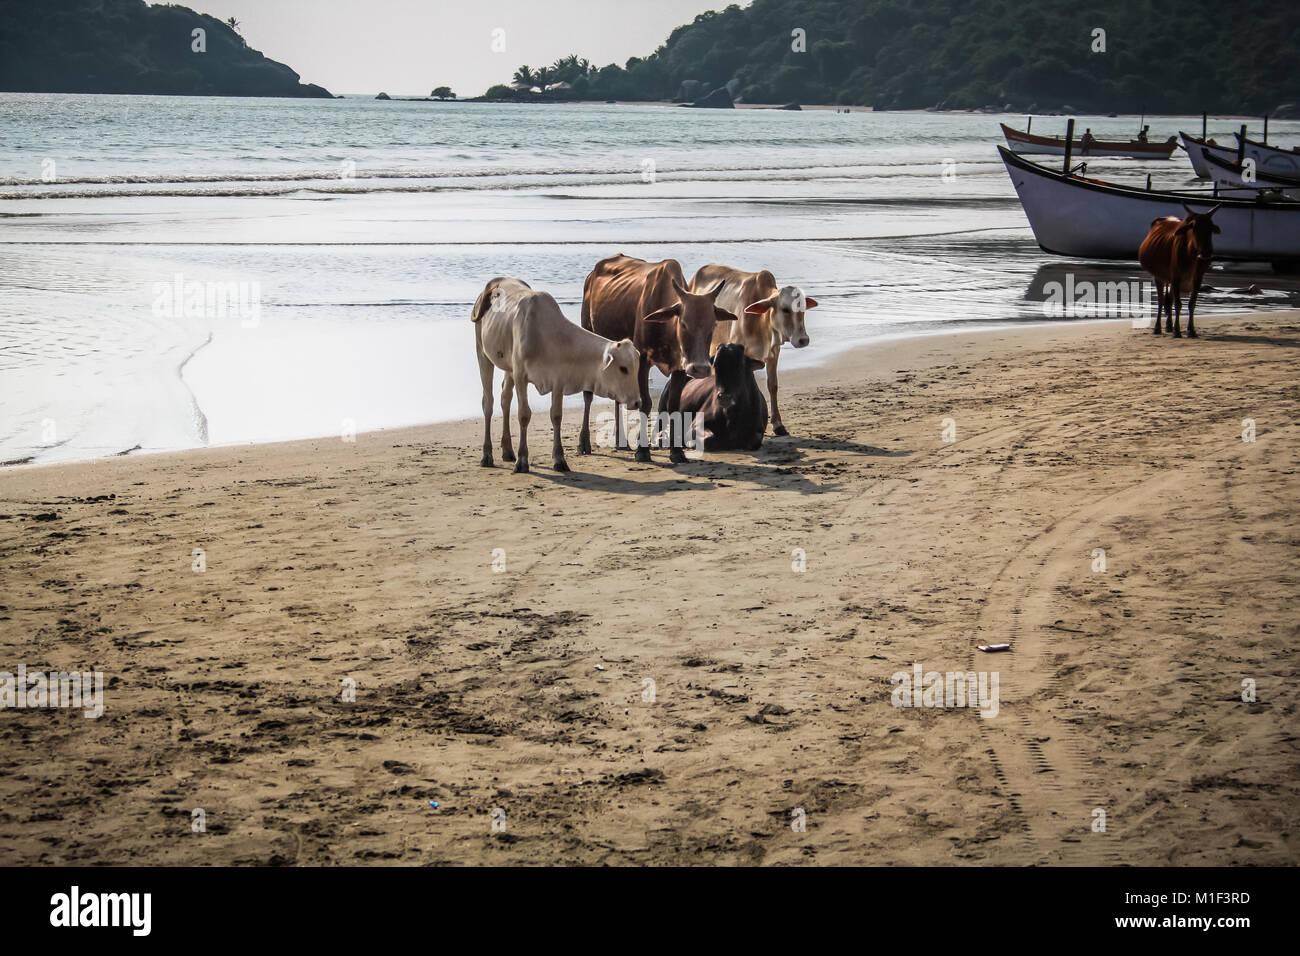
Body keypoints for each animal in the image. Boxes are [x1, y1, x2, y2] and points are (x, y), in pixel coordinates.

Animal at [471, 277, 641, 474]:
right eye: (623, 368)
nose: (637, 402)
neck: (548, 338)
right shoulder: (521, 375)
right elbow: (524, 415)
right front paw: (522, 460)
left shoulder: (558, 380)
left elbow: (556, 416)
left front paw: (559, 459)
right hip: (482, 353)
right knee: (488, 403)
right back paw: (487, 455)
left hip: (509, 366)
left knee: (505, 398)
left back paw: (507, 450)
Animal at [578, 254, 737, 463]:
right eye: (683, 323)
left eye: (713, 324)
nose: (700, 368)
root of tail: (591, 275)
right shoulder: (643, 360)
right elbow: (645, 403)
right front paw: (642, 451)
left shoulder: (680, 367)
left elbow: (674, 406)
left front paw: (676, 452)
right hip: (588, 333)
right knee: (588, 395)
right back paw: (584, 443)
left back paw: (621, 440)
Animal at [689, 264, 817, 436]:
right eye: (785, 309)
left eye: (803, 309)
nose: (803, 339)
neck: (762, 324)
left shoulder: (773, 353)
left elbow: (772, 385)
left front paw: (778, 424)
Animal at [1138, 203, 1222, 338]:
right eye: (1194, 227)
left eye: (1210, 228)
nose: (1206, 251)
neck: (1191, 254)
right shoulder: (1176, 276)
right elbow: (1178, 304)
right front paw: (1177, 331)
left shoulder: (1197, 278)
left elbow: (1191, 303)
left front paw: (1191, 330)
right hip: (1159, 277)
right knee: (1161, 301)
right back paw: (1158, 328)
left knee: (1169, 300)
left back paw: (1169, 326)